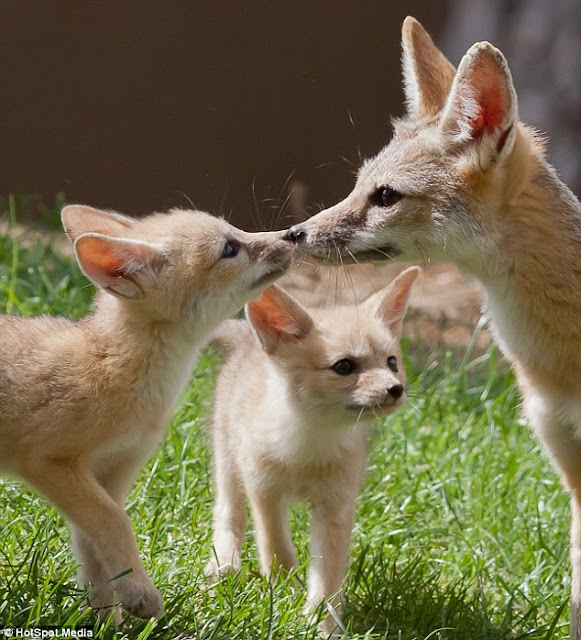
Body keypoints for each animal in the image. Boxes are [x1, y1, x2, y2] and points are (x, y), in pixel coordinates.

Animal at [0, 205, 293, 621]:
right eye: (229, 249)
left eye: (236, 230)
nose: (294, 233)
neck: (111, 368)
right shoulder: (50, 462)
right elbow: (115, 523)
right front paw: (140, 592)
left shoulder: (111, 473)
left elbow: (93, 549)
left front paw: (106, 616)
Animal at [206, 267, 418, 635]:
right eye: (344, 367)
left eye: (392, 362)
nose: (396, 389)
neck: (308, 450)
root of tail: (247, 341)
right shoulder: (264, 490)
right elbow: (276, 548)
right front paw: (284, 592)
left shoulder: (335, 507)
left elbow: (327, 578)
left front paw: (323, 625)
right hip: (229, 464)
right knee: (228, 513)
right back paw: (225, 563)